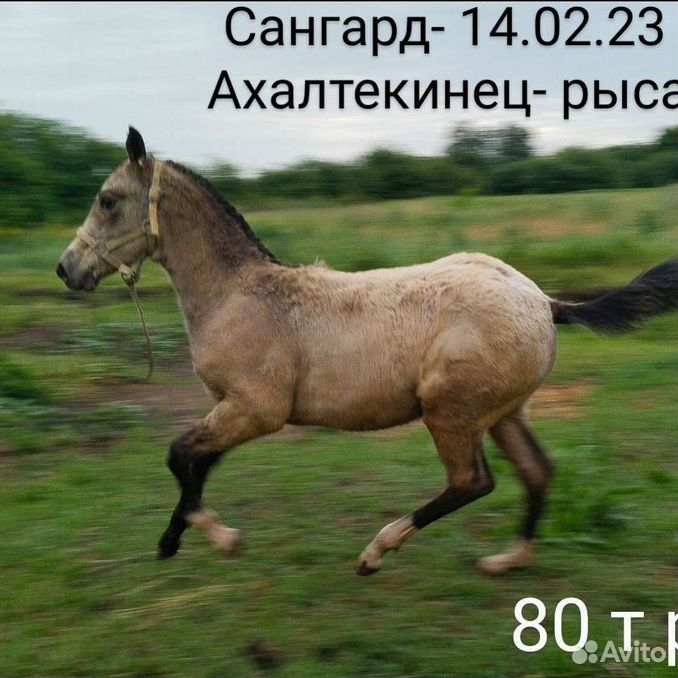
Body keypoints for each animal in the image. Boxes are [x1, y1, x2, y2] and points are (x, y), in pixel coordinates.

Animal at [56, 127, 677, 576]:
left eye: (107, 200)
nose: (67, 269)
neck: (238, 293)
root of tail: (545, 301)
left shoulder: (257, 410)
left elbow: (179, 456)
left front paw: (218, 538)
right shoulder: (234, 408)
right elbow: (196, 463)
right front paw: (175, 541)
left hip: (450, 412)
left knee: (473, 482)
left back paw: (376, 552)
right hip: (505, 414)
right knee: (538, 473)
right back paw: (508, 560)